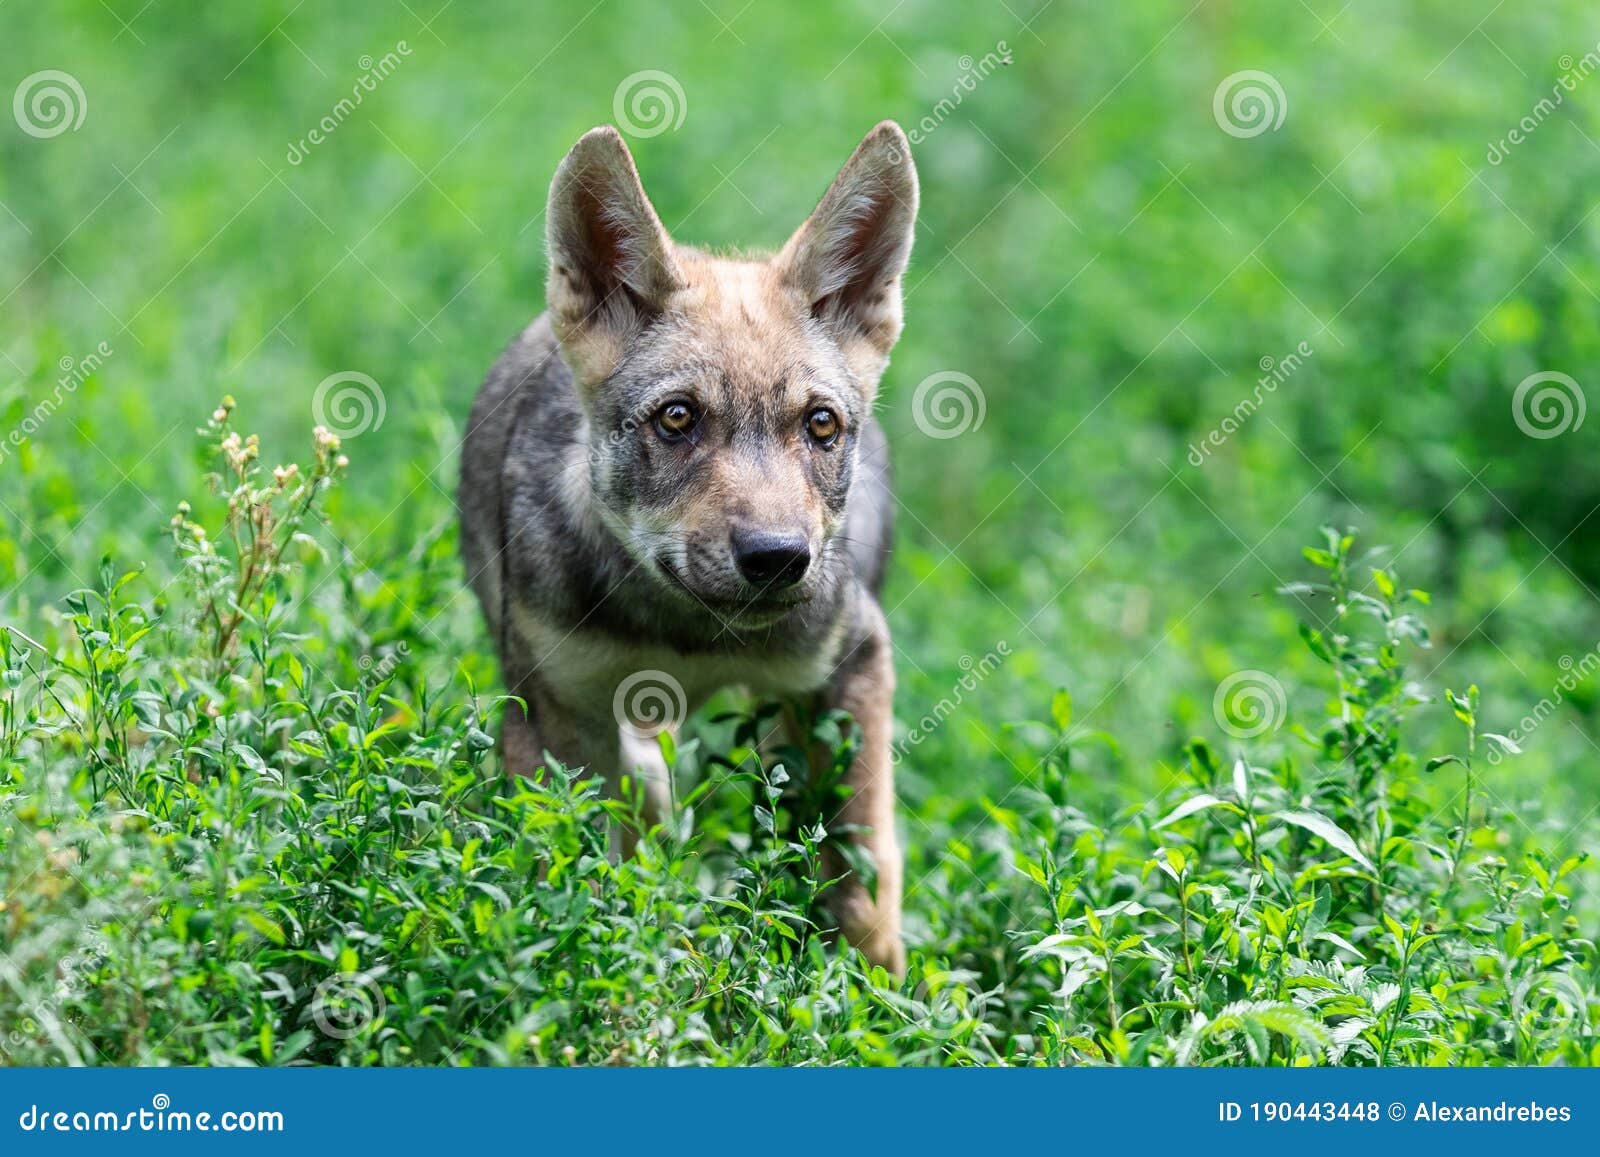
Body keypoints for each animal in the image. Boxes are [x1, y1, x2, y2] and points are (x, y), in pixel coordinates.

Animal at [458, 121, 917, 975]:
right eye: (677, 418)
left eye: (821, 425)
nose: (777, 557)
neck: (691, 639)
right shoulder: (556, 714)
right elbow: (562, 876)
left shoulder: (853, 664)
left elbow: (865, 868)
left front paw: (880, 995)